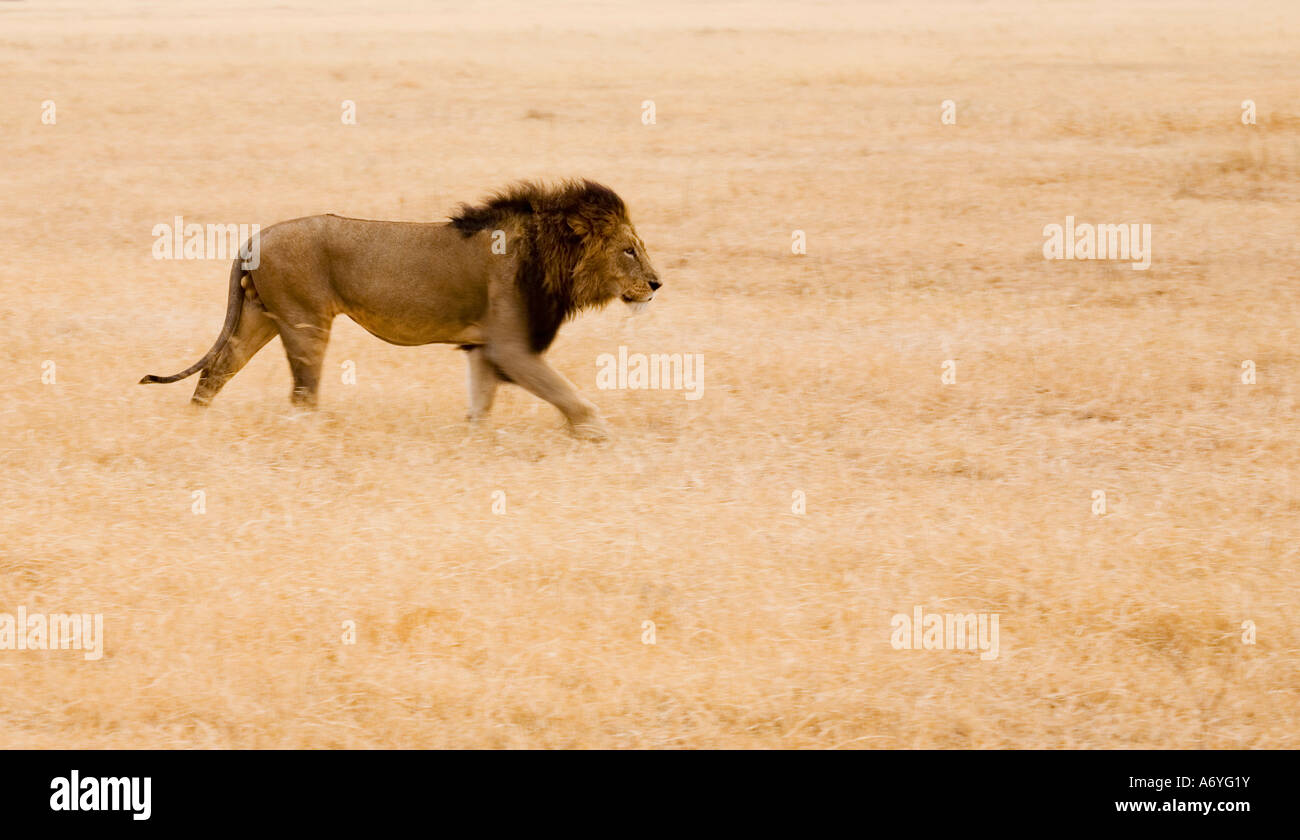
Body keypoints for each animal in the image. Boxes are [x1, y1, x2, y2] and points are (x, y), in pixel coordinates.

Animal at [139, 179, 661, 439]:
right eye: (629, 250)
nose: (657, 284)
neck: (549, 254)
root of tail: (254, 238)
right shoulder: (511, 348)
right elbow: (572, 397)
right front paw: (600, 436)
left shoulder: (483, 347)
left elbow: (481, 404)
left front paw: (474, 443)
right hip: (305, 323)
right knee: (302, 395)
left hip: (260, 318)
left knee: (217, 372)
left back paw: (195, 426)